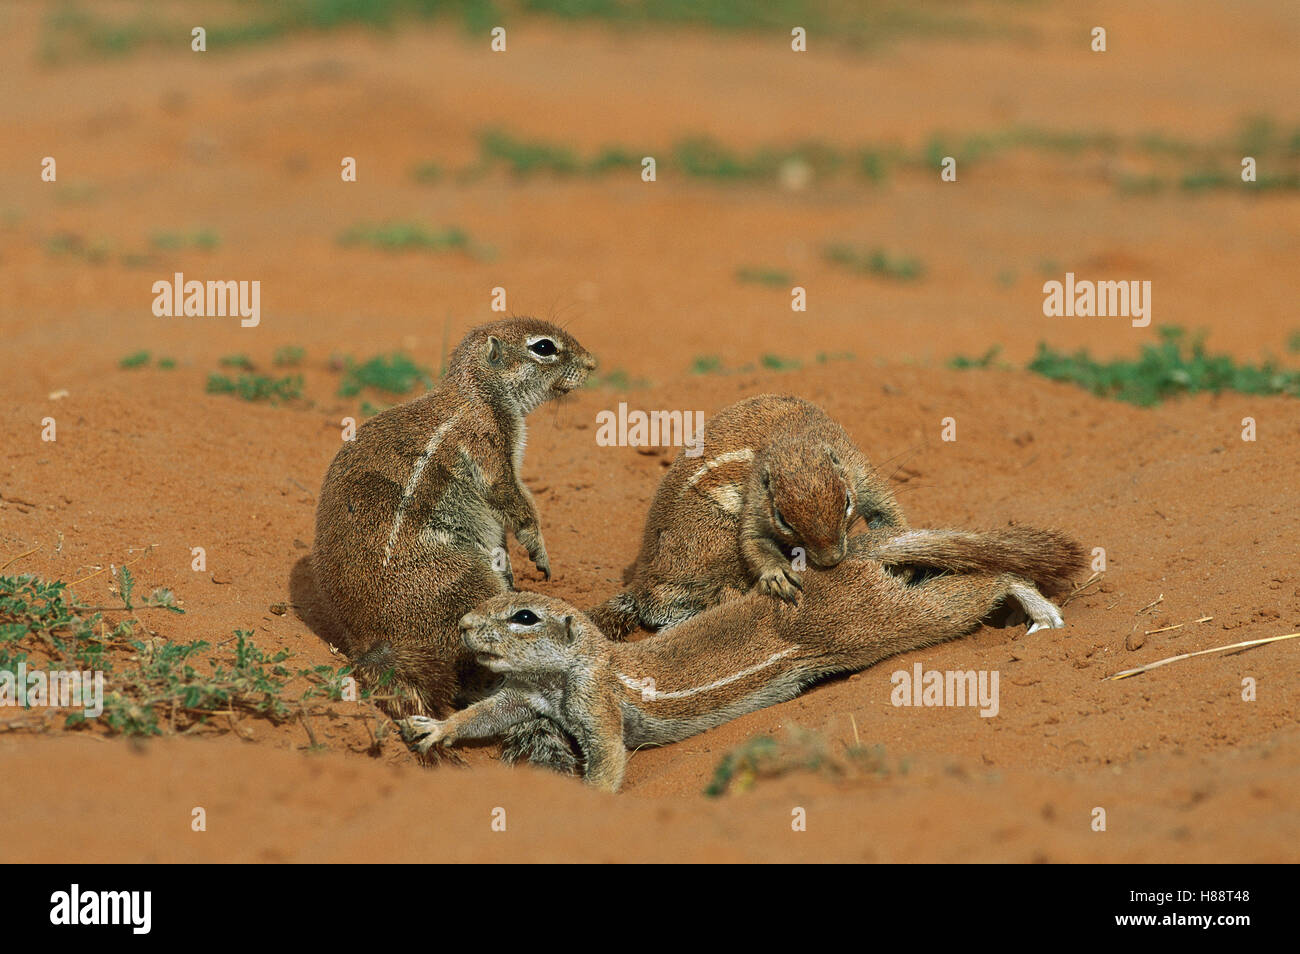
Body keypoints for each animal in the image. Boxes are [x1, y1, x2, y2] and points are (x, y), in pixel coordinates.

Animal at [311, 317, 596, 721]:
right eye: (544, 347)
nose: (592, 364)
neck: (478, 394)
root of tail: (373, 643)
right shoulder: (488, 445)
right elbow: (514, 501)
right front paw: (538, 551)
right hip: (467, 584)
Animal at [400, 526, 1084, 792]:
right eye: (488, 602)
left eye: (524, 617)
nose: (463, 626)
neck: (558, 675)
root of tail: (849, 558)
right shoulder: (525, 697)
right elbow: (485, 714)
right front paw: (433, 727)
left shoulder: (596, 703)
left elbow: (609, 759)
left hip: (886, 623)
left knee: (983, 581)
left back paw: (1039, 607)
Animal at [588, 394, 909, 638]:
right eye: (783, 519)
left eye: (846, 503)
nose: (831, 560)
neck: (793, 443)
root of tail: (640, 585)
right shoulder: (755, 501)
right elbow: (753, 540)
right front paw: (777, 575)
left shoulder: (859, 472)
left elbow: (886, 509)